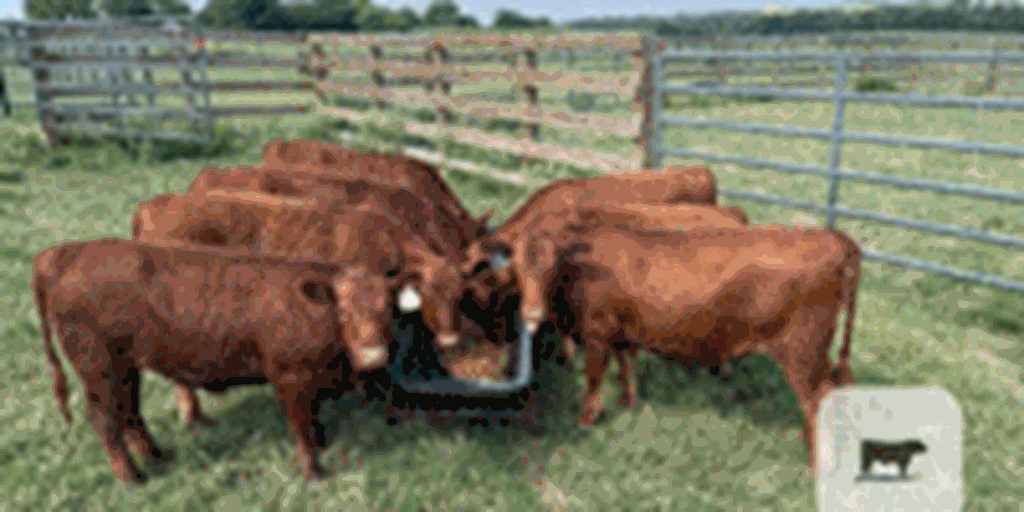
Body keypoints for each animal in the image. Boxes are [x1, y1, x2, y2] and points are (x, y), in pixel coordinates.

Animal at [33, 239, 417, 483]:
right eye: (345, 312)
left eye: (389, 309)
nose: (374, 356)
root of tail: (67, 253)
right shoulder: (290, 378)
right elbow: (301, 428)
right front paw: (313, 471)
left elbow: (315, 420)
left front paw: (323, 443)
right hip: (97, 367)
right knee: (106, 420)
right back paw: (131, 477)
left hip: (123, 366)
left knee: (129, 411)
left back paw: (157, 456)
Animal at [525, 222, 860, 470]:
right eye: (517, 266)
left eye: (551, 265)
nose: (531, 312)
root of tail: (827, 235)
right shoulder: (622, 334)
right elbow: (626, 369)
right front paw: (628, 405)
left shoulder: (597, 332)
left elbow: (594, 381)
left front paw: (584, 422)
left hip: (802, 353)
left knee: (817, 404)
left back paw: (815, 467)